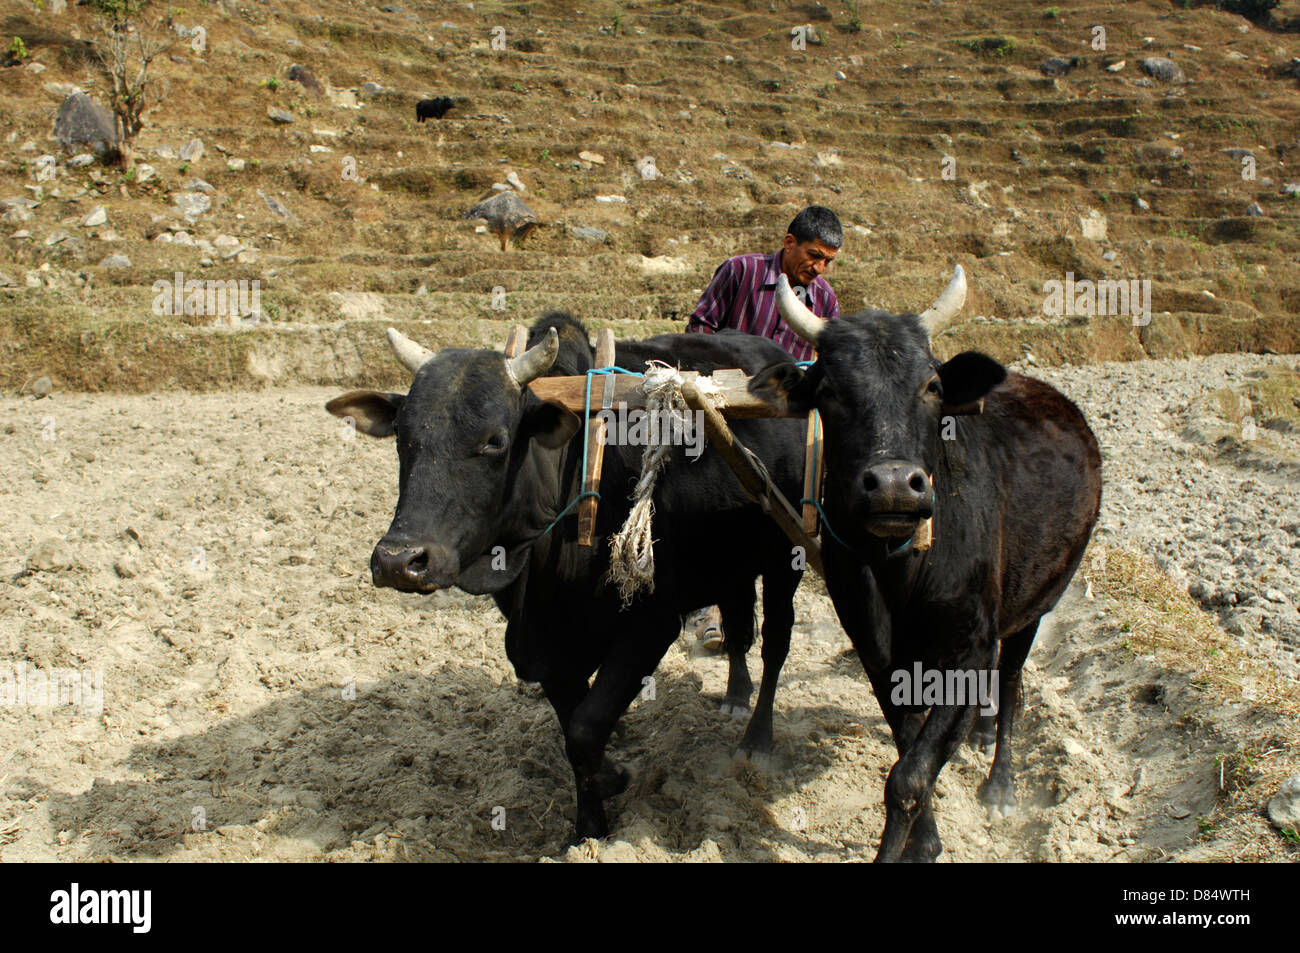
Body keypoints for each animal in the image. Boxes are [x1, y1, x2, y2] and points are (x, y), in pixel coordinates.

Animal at [749, 267, 1102, 862]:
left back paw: (1000, 781)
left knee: (1011, 681)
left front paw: (916, 843)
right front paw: (927, 837)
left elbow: (909, 776)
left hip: (1037, 602)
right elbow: (908, 743)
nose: (894, 485)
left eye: (932, 386)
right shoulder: (876, 650)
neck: (900, 568)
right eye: (828, 390)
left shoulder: (970, 647)